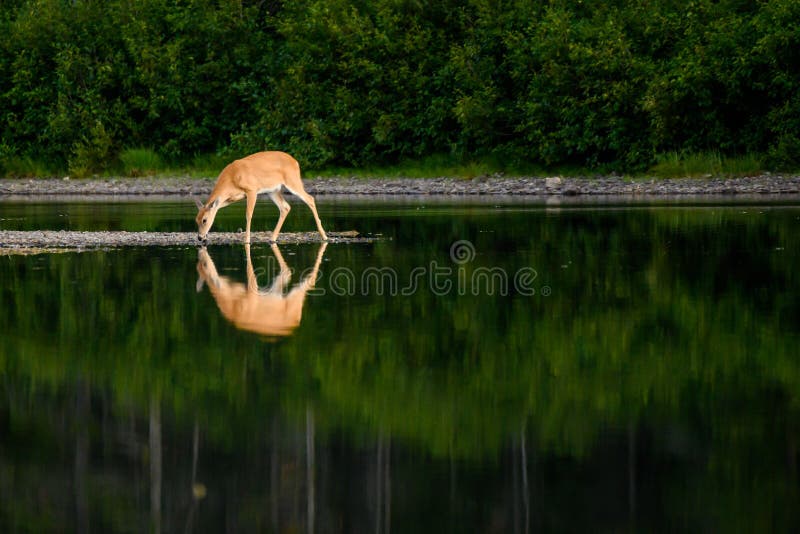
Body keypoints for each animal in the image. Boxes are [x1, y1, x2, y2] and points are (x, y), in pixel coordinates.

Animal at [194, 151, 327, 244]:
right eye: (196, 220)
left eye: (204, 220)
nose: (200, 237)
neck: (231, 179)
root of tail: (296, 162)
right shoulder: (229, 199)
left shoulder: (252, 190)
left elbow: (248, 214)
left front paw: (246, 240)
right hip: (273, 191)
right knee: (285, 207)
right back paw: (272, 238)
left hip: (292, 181)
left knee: (310, 198)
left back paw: (324, 236)